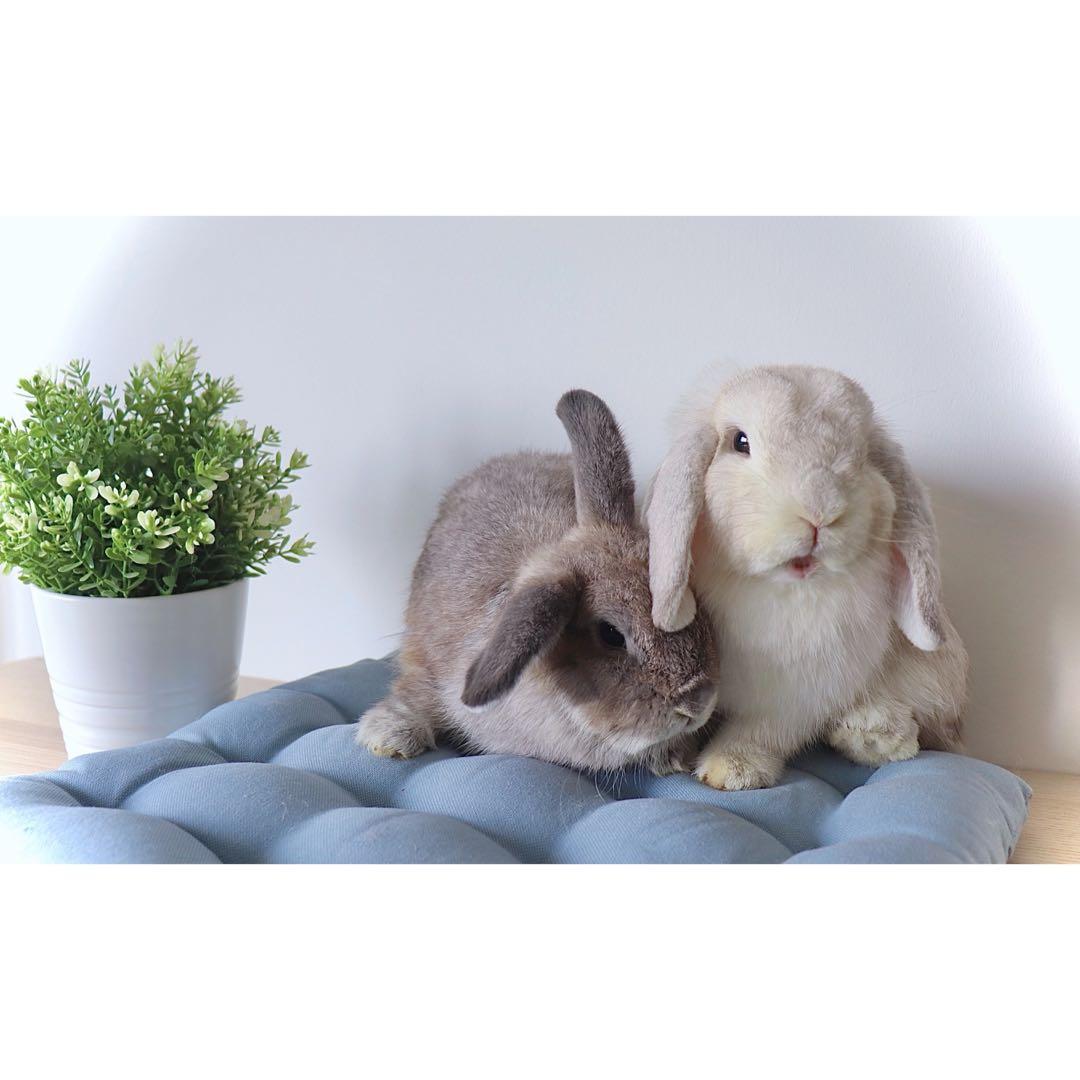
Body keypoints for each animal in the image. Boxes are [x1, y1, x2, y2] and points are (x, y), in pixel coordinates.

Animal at [356, 389, 720, 775]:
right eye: (611, 635)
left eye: (691, 597)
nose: (699, 701)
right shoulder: (425, 662)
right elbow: (415, 695)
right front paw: (387, 737)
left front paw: (676, 756)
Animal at [645, 364, 968, 790]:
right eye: (740, 442)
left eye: (864, 455)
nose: (821, 512)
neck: (781, 592)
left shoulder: (801, 696)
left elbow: (762, 731)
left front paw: (731, 770)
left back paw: (873, 733)